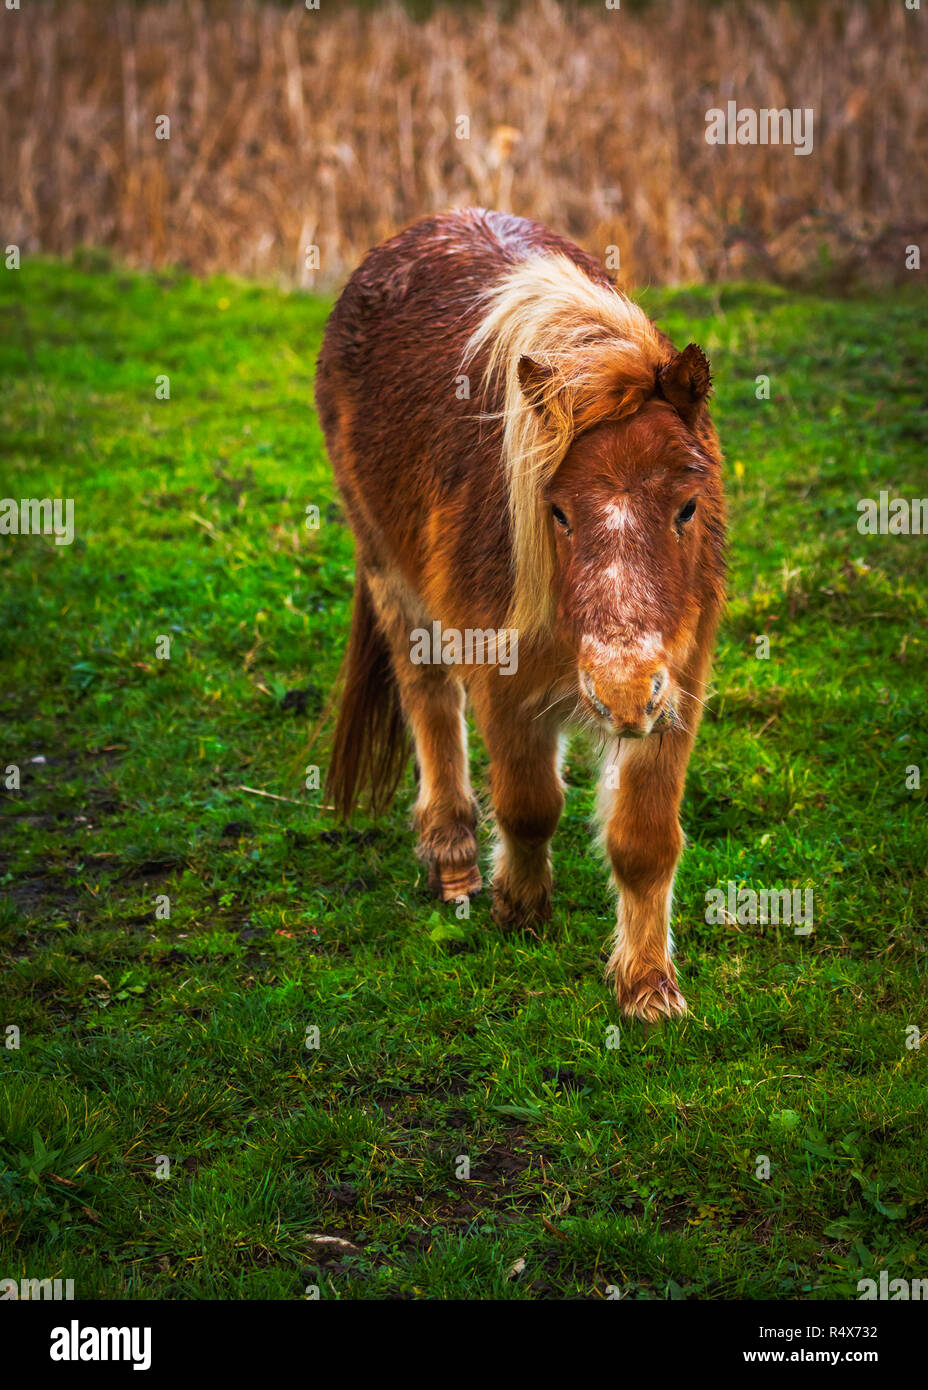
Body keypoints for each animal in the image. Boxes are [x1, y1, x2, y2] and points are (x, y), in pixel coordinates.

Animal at [314, 209, 726, 1022]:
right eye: (558, 513)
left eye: (688, 507)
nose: (621, 693)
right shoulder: (501, 677)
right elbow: (530, 802)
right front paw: (521, 907)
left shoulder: (677, 688)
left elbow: (645, 840)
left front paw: (647, 986)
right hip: (386, 566)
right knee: (428, 698)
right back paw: (452, 856)